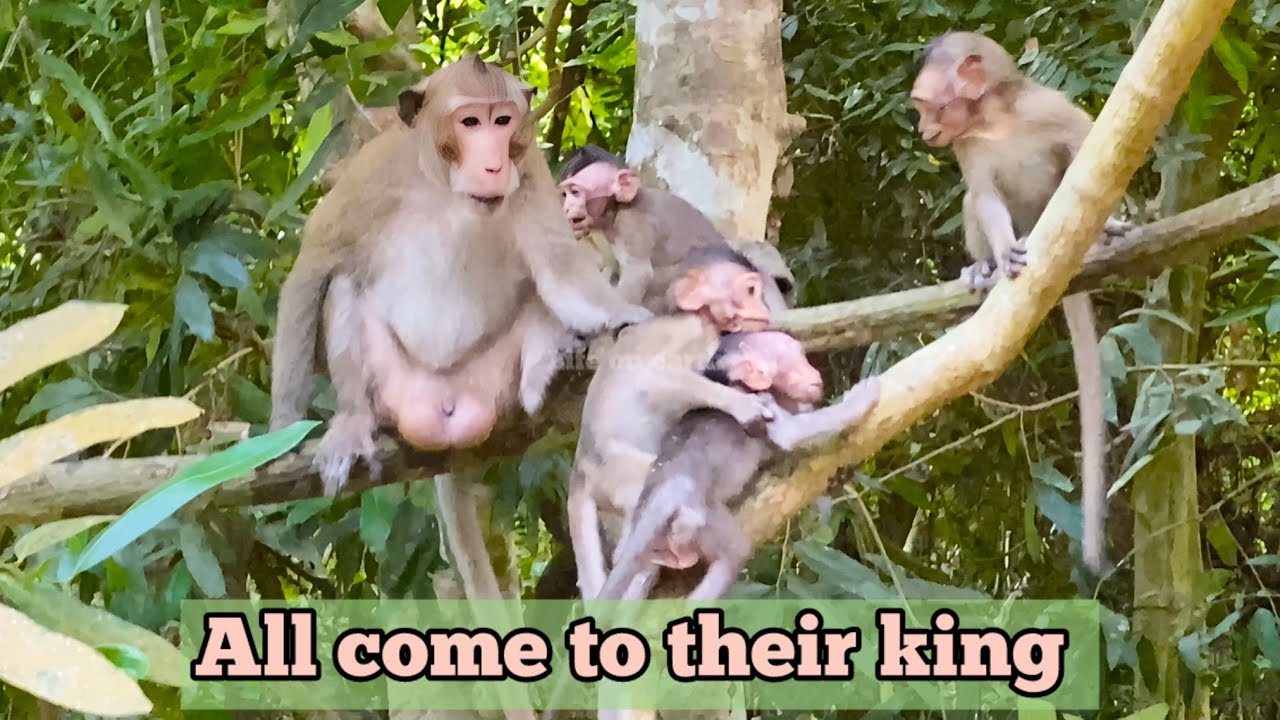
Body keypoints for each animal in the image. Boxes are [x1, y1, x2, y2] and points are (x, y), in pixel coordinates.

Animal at [268, 57, 652, 496]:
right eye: (470, 122)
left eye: (502, 120)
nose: (494, 163)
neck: (449, 188)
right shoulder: (373, 172)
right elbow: (313, 268)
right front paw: (282, 430)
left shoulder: (529, 169)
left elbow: (561, 272)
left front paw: (628, 315)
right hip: (394, 390)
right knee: (345, 283)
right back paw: (352, 421)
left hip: (493, 384)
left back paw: (541, 369)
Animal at [566, 244, 782, 604]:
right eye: (750, 290)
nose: (763, 307)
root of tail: (581, 467)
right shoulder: (693, 335)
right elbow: (658, 379)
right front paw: (742, 405)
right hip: (621, 470)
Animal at [909, 31, 1132, 573]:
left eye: (926, 105)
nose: (923, 129)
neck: (995, 121)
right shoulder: (967, 145)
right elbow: (983, 197)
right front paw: (1001, 254)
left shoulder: (1047, 106)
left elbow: (1086, 150)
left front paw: (1113, 219)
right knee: (971, 202)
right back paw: (984, 267)